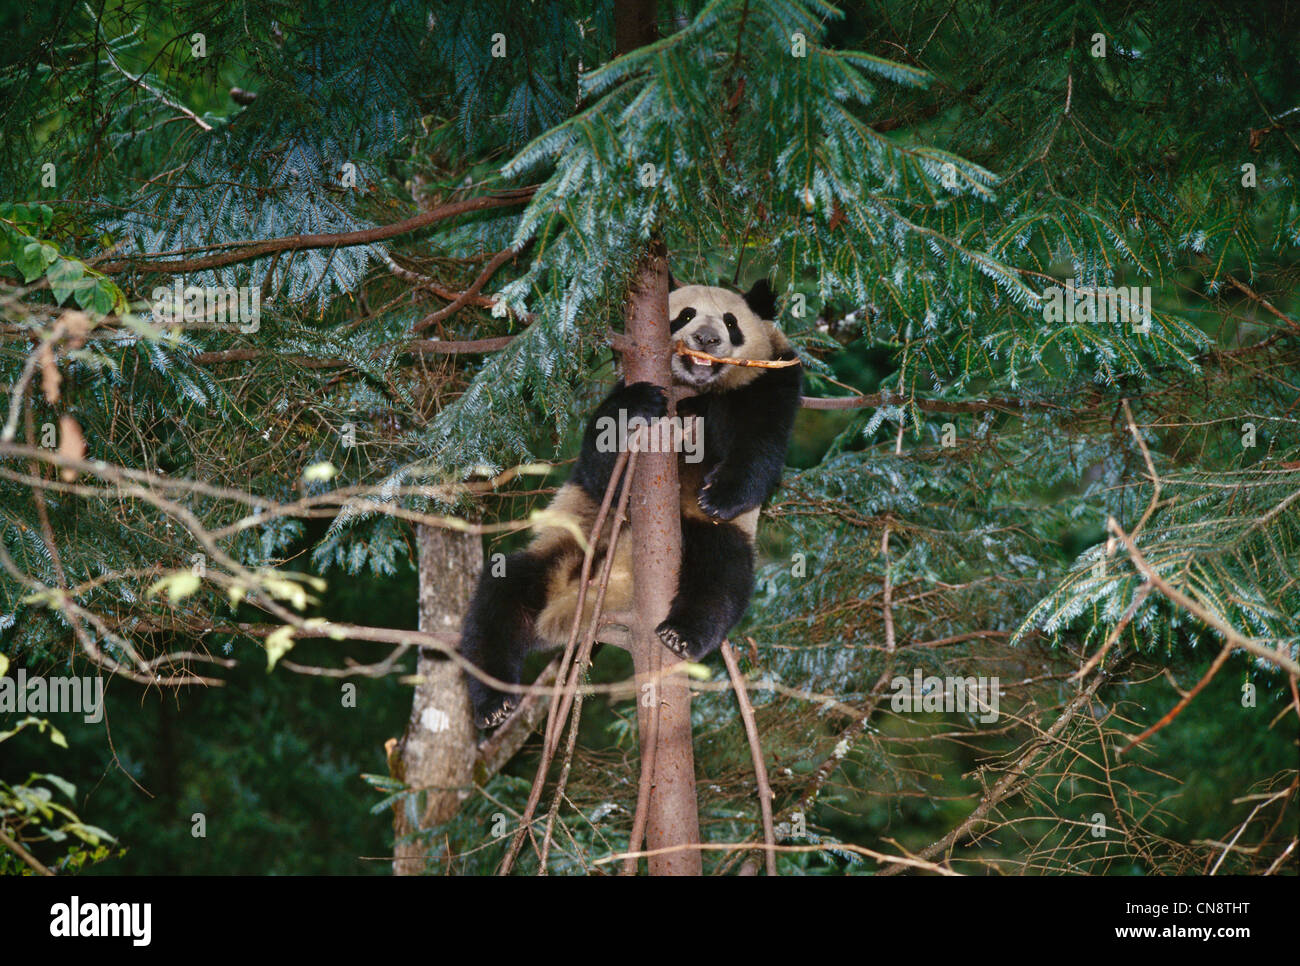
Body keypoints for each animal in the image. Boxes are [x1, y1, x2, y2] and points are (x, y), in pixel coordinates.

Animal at [461, 279, 802, 728]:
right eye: (686, 315)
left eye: (731, 322)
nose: (707, 339)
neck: (696, 390)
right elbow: (601, 460)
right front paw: (640, 404)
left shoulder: (770, 381)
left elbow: (761, 448)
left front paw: (719, 495)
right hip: (566, 548)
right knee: (500, 602)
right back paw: (494, 703)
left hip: (700, 538)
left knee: (719, 573)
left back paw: (680, 633)